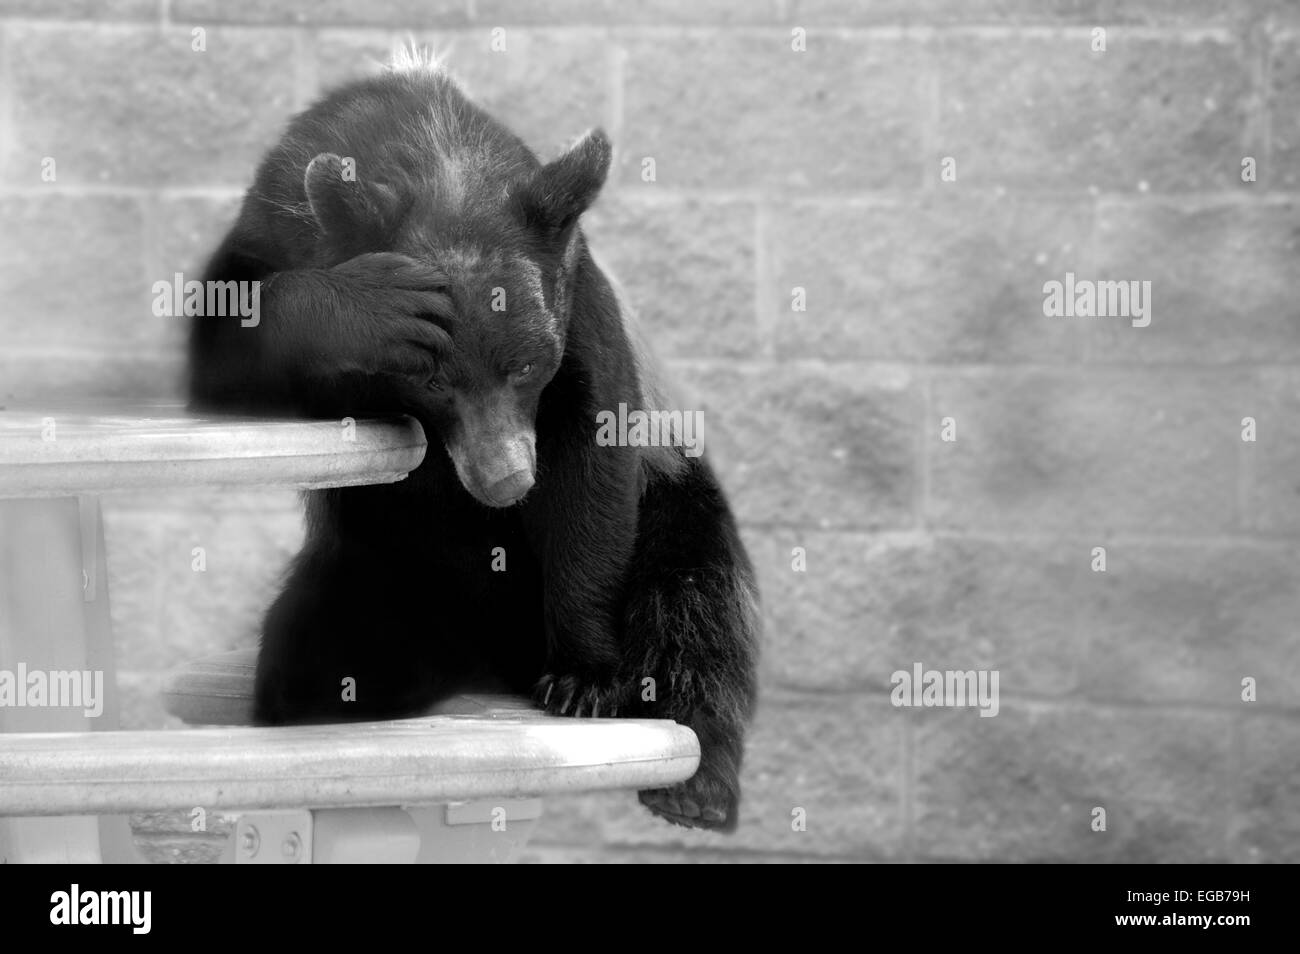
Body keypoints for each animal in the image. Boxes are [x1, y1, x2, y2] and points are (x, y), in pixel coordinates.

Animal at [187, 47, 759, 831]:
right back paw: (331, 692)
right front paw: (378, 304)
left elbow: (591, 466)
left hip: (674, 493)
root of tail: (491, 651)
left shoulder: (582, 311)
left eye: (526, 365)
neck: (436, 145)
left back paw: (694, 786)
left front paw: (582, 679)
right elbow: (220, 339)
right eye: (433, 383)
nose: (505, 481)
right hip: (379, 563)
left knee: (696, 592)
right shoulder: (268, 223)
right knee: (327, 638)